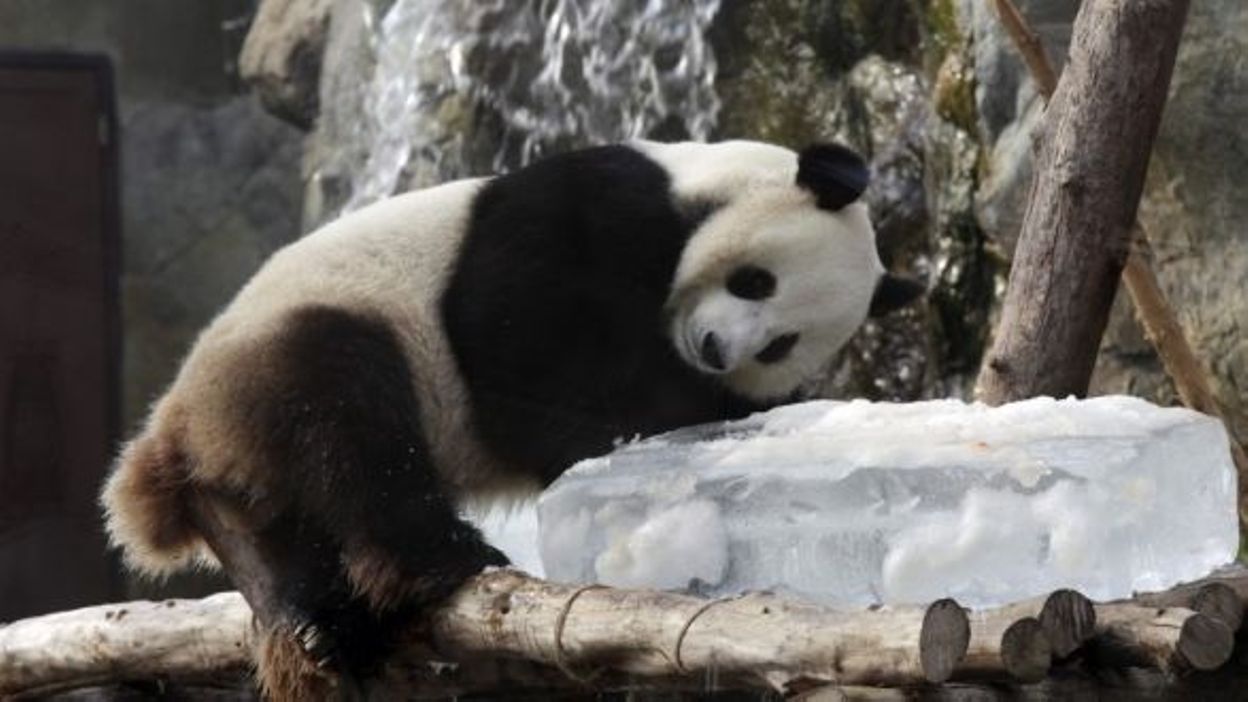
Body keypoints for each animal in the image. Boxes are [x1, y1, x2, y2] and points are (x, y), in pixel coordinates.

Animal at [100, 139, 921, 698]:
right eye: (756, 282)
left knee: (272, 529)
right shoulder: (589, 207)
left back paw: (320, 623)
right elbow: (511, 334)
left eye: (782, 342)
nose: (717, 349)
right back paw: (445, 559)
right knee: (350, 428)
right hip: (307, 333)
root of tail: (178, 433)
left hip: (245, 448)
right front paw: (628, 424)